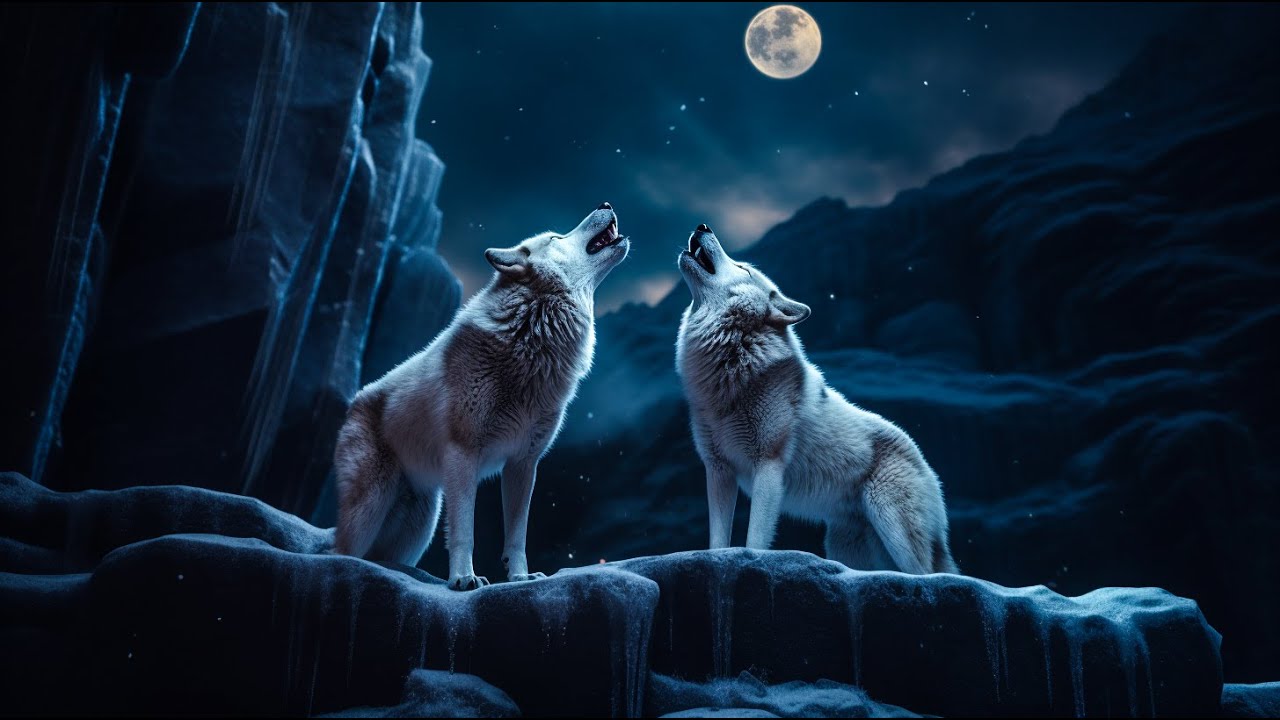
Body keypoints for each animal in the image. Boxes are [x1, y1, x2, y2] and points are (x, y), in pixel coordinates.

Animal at [334, 203, 629, 590]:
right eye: (556, 237)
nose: (606, 204)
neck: (529, 341)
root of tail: (355, 403)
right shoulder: (463, 456)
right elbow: (465, 531)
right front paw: (464, 578)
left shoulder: (523, 463)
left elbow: (517, 536)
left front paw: (521, 576)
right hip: (369, 512)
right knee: (338, 552)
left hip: (417, 529)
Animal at [675, 224, 957, 574]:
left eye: (744, 268)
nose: (703, 227)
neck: (732, 368)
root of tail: (924, 461)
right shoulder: (718, 470)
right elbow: (717, 539)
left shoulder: (769, 466)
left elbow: (755, 538)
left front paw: (750, 563)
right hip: (845, 546)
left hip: (893, 527)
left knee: (927, 574)